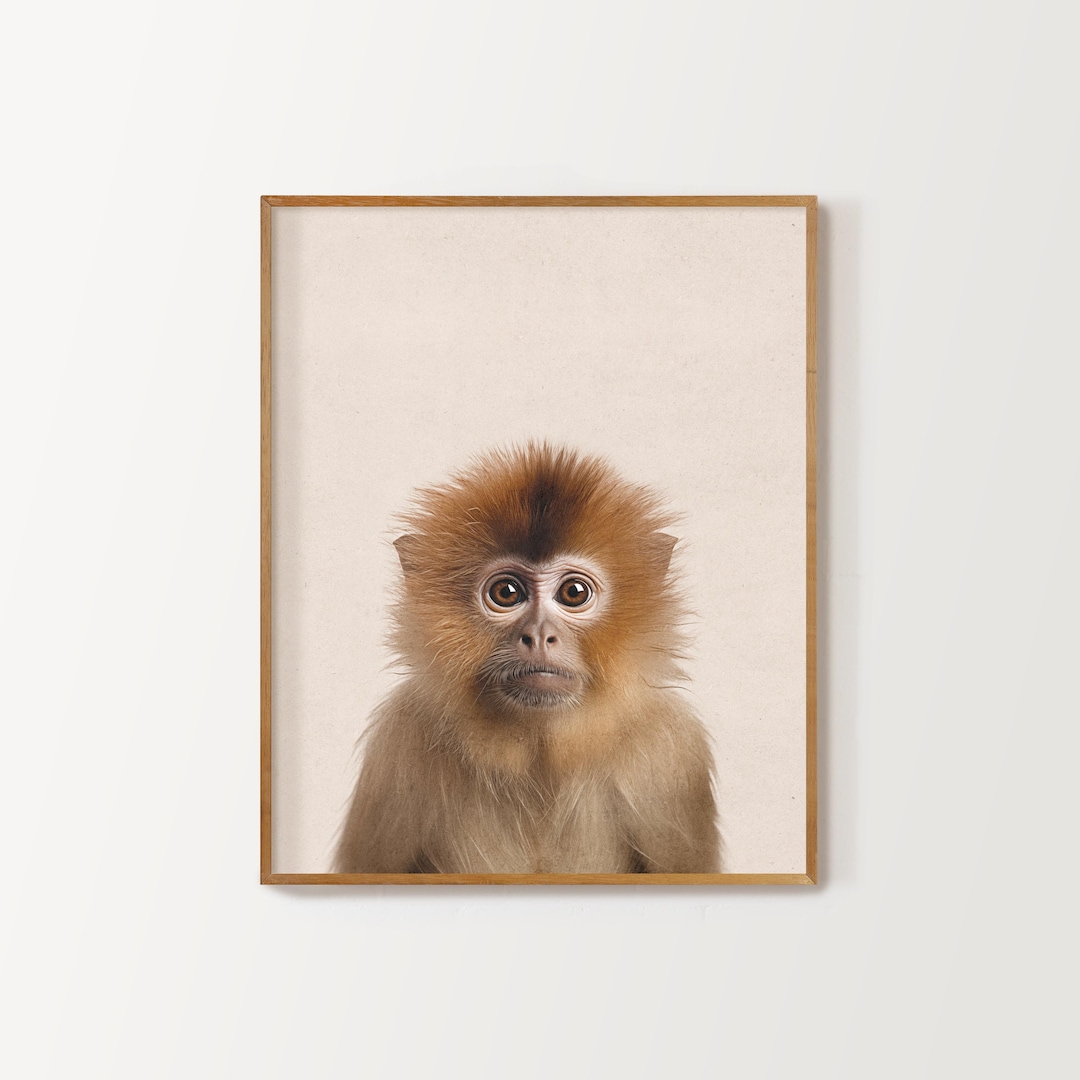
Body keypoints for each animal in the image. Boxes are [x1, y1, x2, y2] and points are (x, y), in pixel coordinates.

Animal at [334, 443, 719, 874]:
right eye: (506, 593)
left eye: (573, 593)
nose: (538, 636)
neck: (539, 752)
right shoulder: (400, 739)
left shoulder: (670, 748)